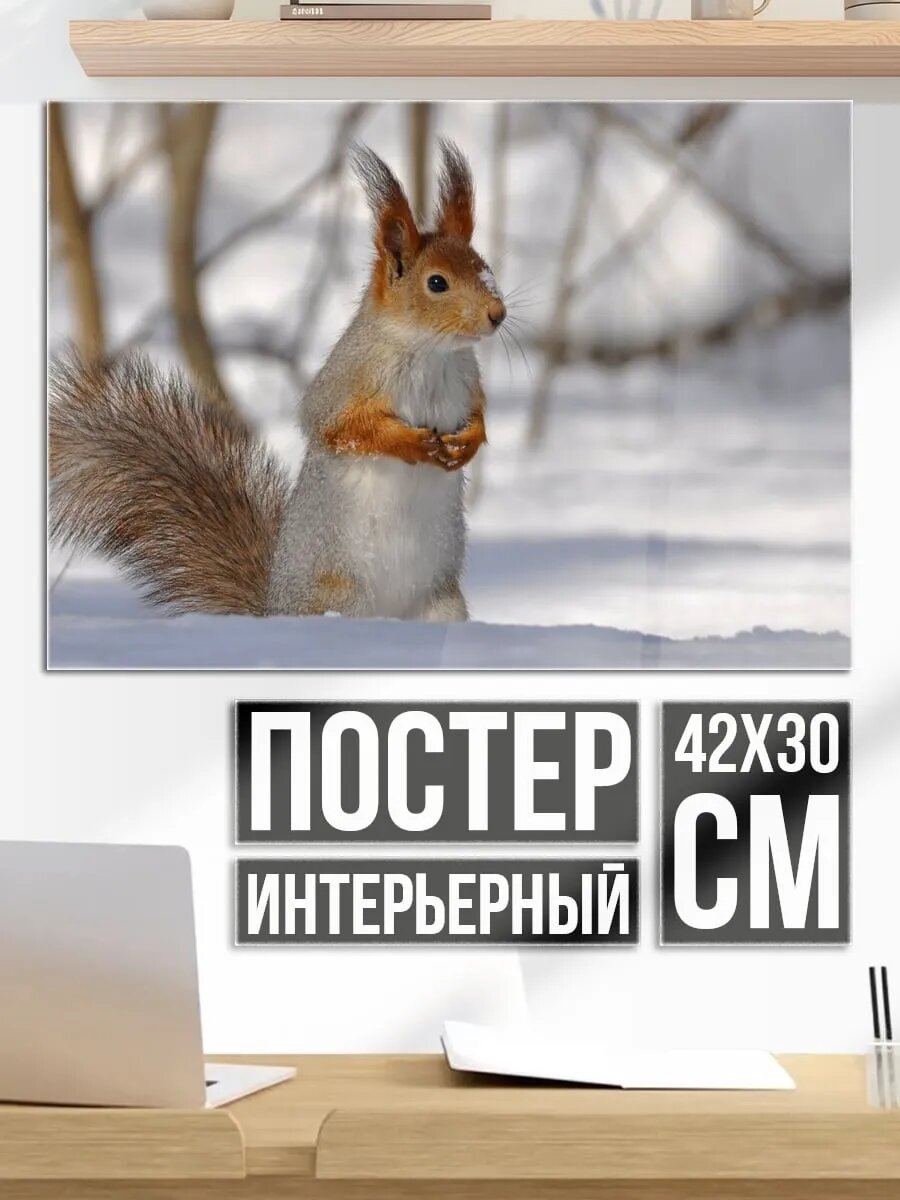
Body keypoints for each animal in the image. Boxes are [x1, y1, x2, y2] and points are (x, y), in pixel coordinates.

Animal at [49, 140, 506, 623]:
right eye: (436, 283)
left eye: (486, 268)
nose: (498, 314)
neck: (432, 351)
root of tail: (274, 609)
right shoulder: (345, 381)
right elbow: (340, 427)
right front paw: (413, 443)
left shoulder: (468, 381)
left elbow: (478, 416)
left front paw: (466, 444)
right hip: (342, 597)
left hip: (442, 605)